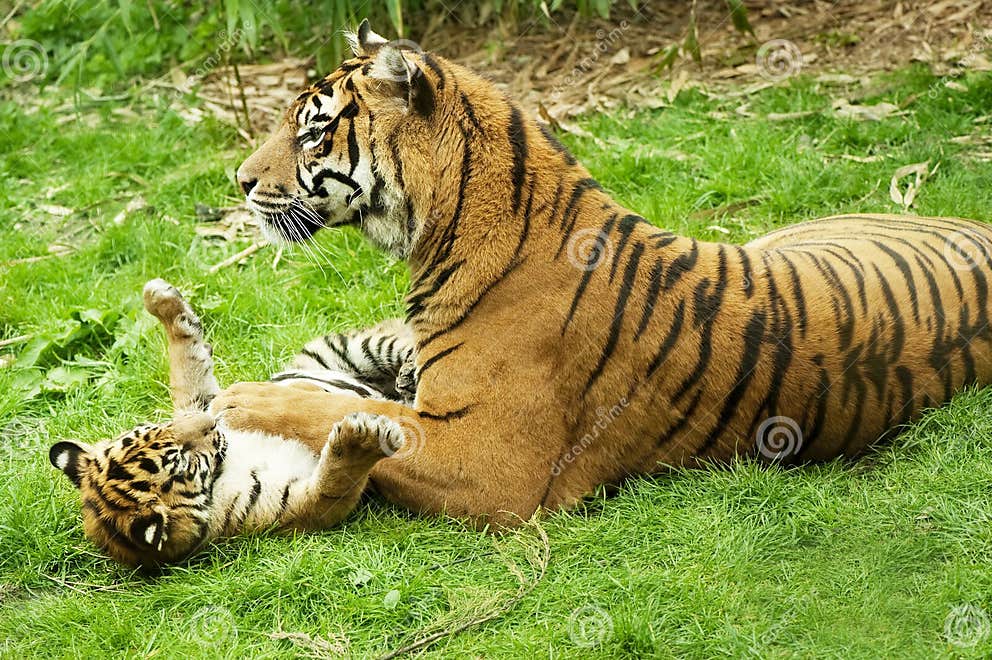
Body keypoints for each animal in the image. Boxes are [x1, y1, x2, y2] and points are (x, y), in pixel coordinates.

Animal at [49, 279, 415, 566]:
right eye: (181, 459)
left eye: (158, 429)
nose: (213, 424)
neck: (220, 475)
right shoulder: (298, 504)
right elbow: (335, 480)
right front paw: (361, 438)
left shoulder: (202, 400)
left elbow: (186, 364)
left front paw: (161, 299)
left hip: (344, 350)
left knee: (399, 344)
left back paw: (409, 372)